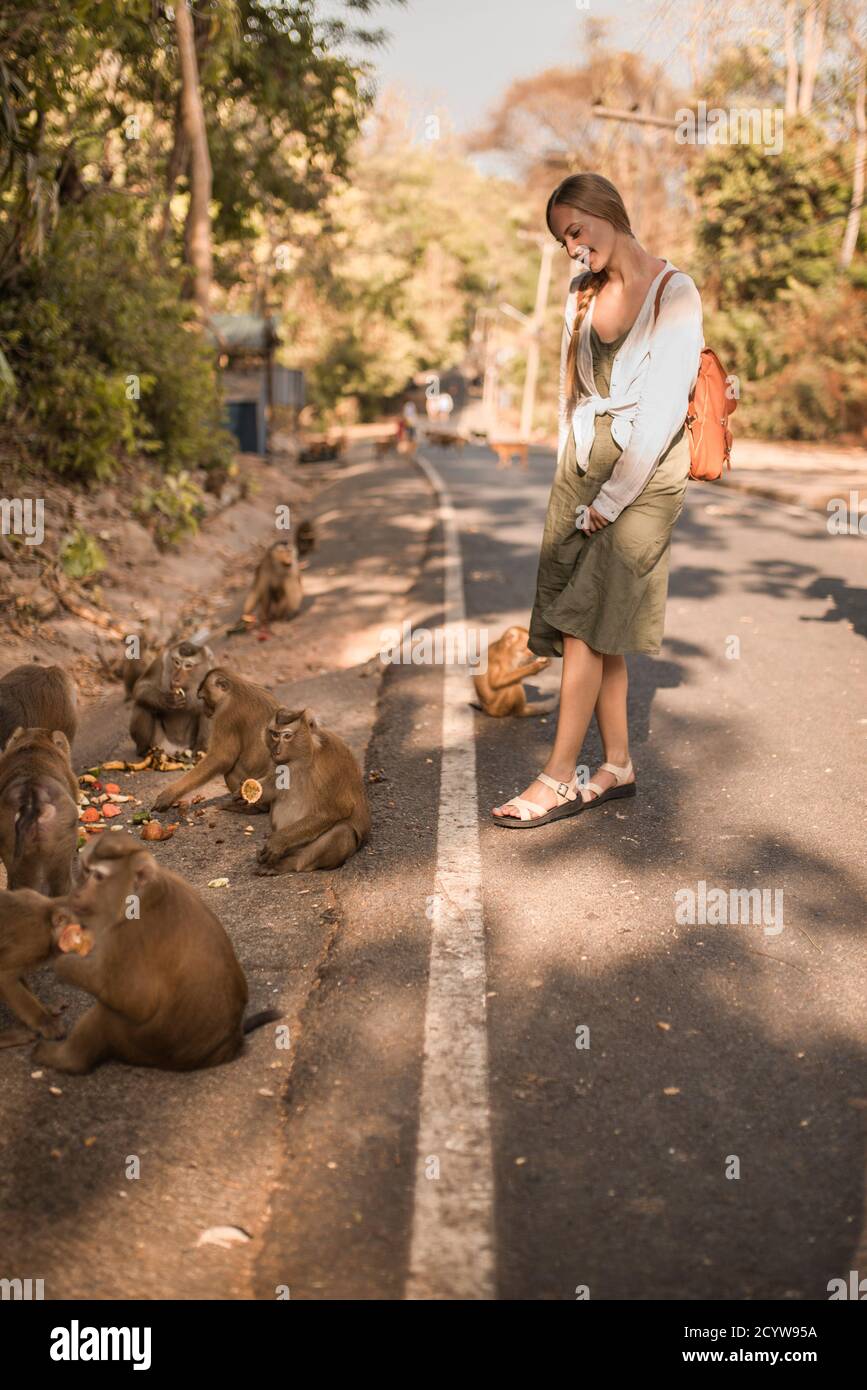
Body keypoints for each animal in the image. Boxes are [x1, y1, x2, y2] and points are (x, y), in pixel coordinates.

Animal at [32, 831, 279, 1074]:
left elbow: (133, 999)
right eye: (85, 871)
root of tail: (227, 1047)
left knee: (108, 1013)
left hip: (146, 1043)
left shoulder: (129, 934)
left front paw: (63, 964)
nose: (78, 892)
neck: (143, 892)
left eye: (98, 877)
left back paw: (67, 1060)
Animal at [151, 668, 277, 811]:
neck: (236, 688)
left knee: (230, 771)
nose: (204, 710)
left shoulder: (226, 714)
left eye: (204, 698)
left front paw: (170, 794)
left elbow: (221, 758)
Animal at [257, 707, 370, 873]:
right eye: (274, 734)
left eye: (287, 736)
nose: (276, 751)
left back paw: (289, 864)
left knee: (344, 832)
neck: (303, 757)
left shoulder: (330, 763)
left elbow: (336, 809)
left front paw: (278, 840)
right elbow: (274, 786)